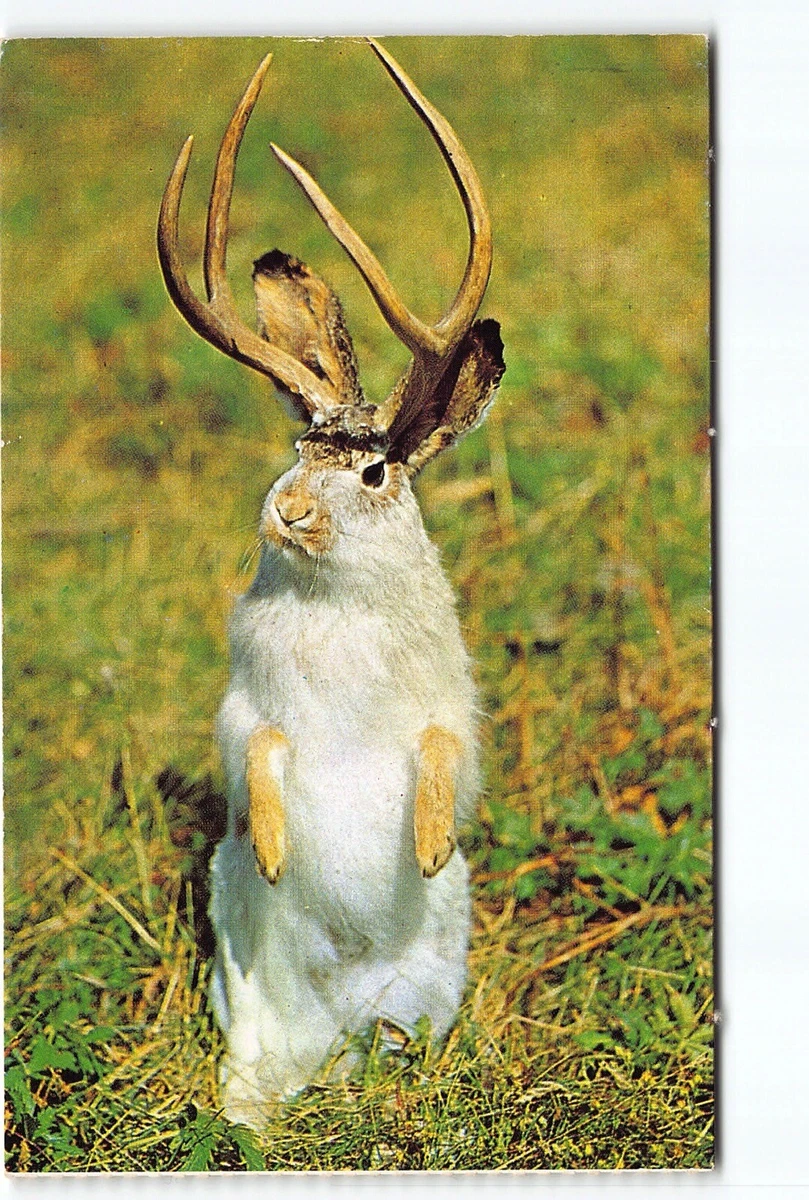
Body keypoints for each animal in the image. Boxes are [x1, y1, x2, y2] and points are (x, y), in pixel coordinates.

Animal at [158, 38, 505, 1127]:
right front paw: (273, 853)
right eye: (297, 448)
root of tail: (324, 1049)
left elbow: (439, 752)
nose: (287, 510)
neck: (333, 602)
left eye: (374, 472)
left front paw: (428, 846)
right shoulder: (245, 710)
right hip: (249, 992)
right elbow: (263, 750)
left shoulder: (445, 709)